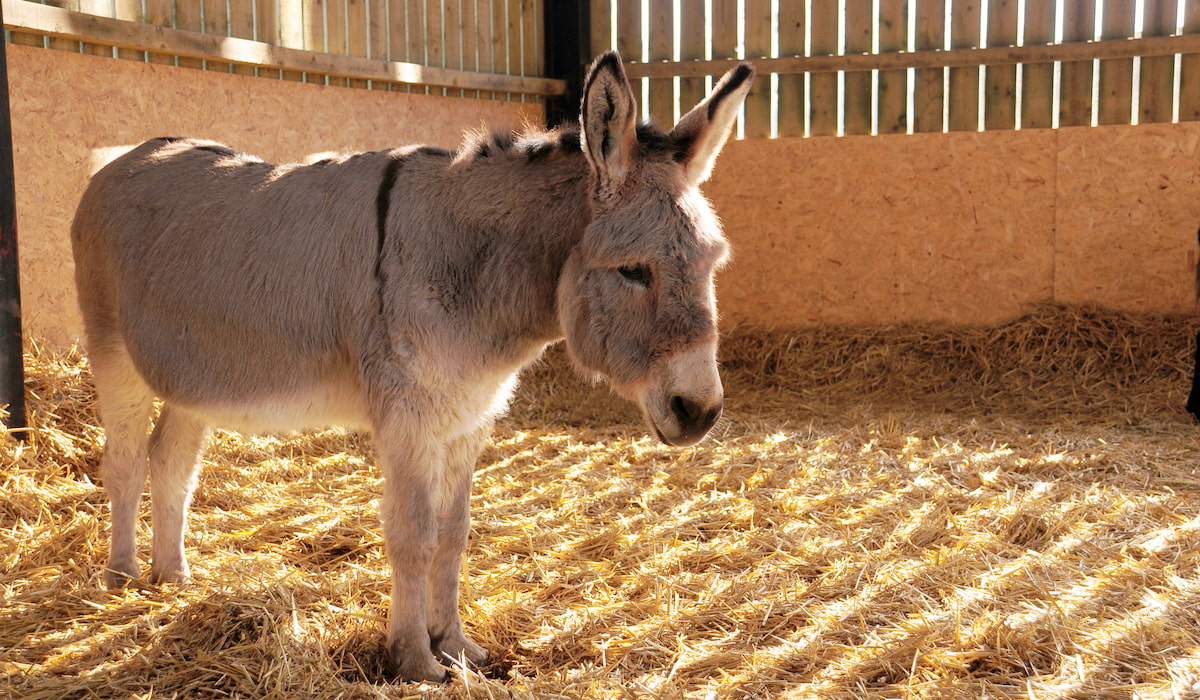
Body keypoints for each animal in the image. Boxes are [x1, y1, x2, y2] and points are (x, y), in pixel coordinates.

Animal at [70, 51, 754, 681]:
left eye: (715, 264)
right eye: (633, 271)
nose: (699, 411)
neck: (471, 269)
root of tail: (127, 156)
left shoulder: (467, 419)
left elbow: (453, 534)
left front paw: (456, 647)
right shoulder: (408, 419)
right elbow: (414, 534)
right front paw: (414, 660)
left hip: (192, 376)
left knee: (170, 461)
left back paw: (173, 577)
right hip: (115, 355)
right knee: (126, 462)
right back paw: (121, 577)